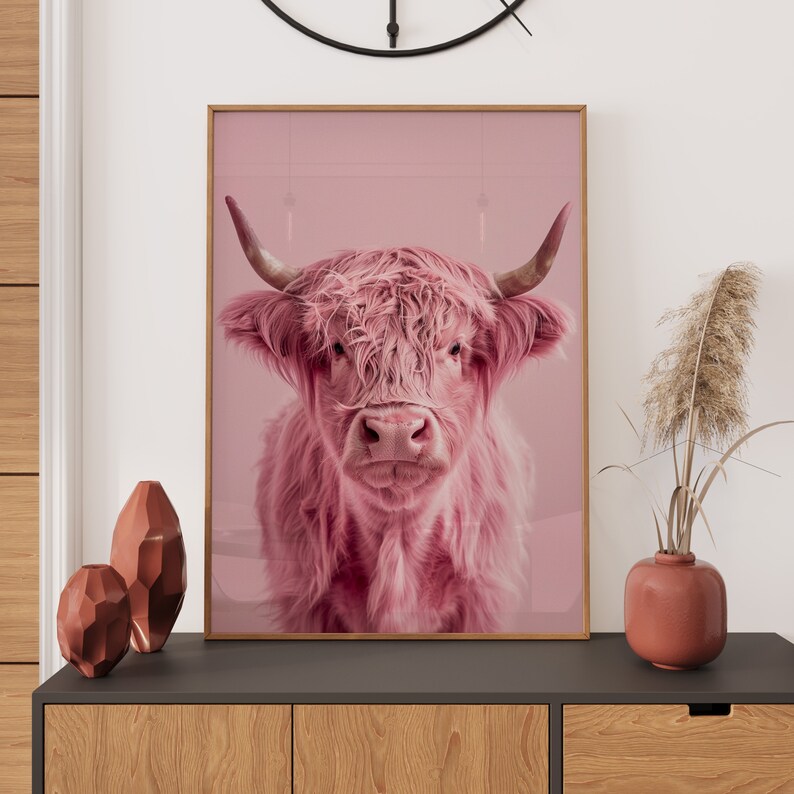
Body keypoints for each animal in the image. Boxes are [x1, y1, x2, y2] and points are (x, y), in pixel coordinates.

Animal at [220, 196, 572, 633]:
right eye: (337, 346)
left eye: (455, 347)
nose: (395, 432)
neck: (397, 539)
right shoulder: (303, 601)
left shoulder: (485, 600)